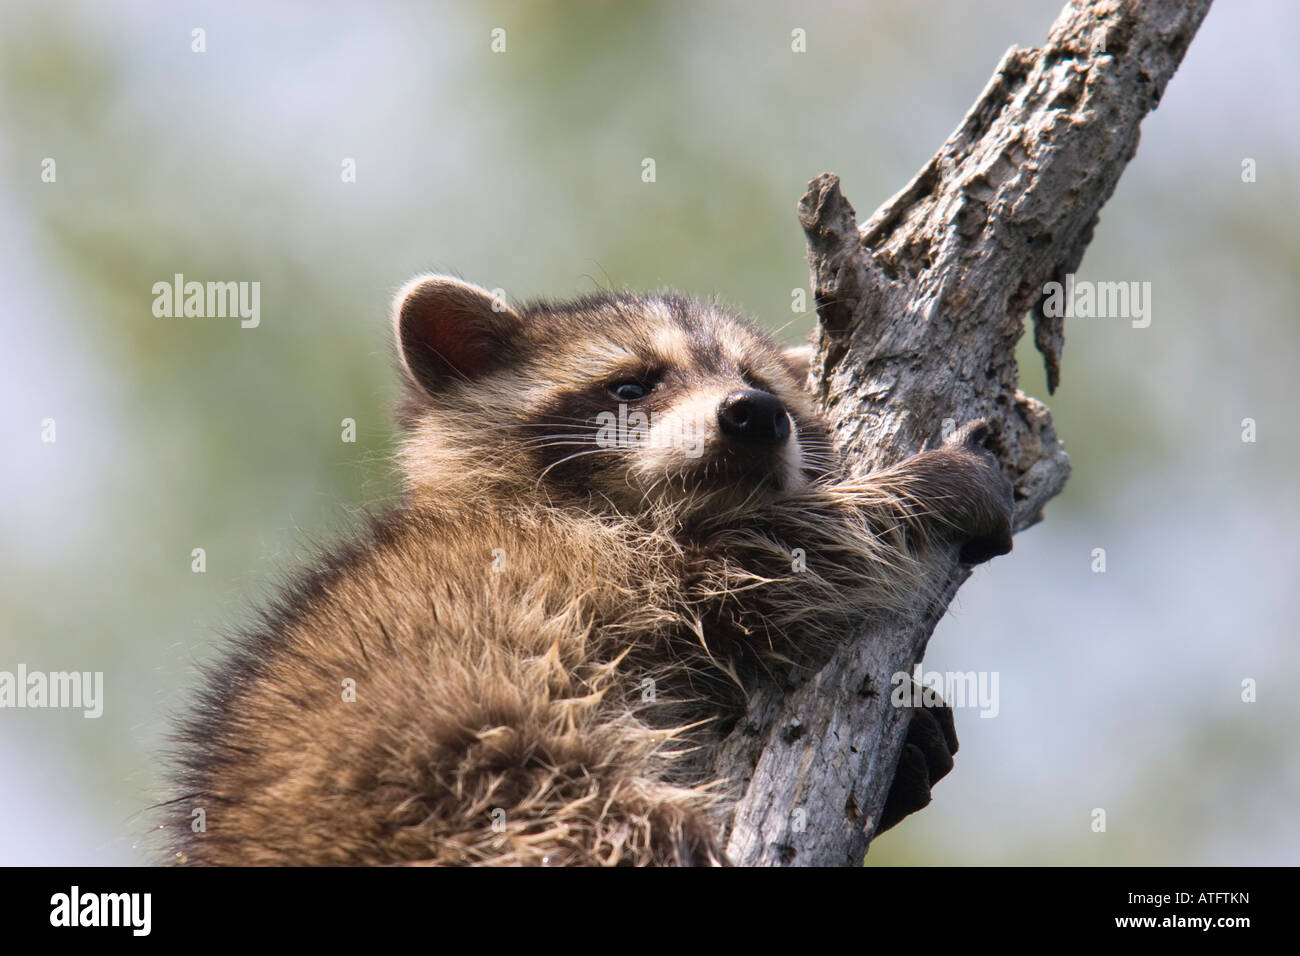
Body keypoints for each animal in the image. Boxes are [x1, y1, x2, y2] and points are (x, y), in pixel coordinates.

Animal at [166, 275, 1013, 866]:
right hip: (462, 781)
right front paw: (921, 486)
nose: (755, 414)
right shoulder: (581, 570)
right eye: (631, 385)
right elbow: (756, 568)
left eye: (764, 386)